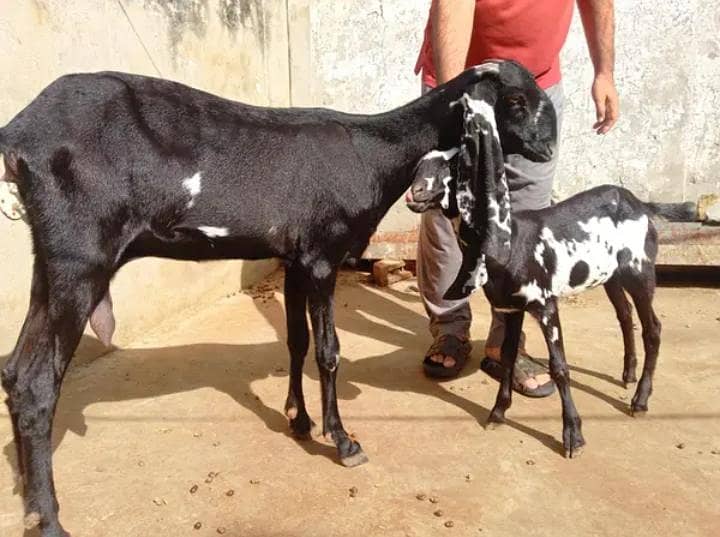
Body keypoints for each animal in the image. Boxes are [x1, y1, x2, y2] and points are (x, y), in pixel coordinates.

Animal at [0, 60, 556, 536]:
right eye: (515, 101)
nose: (548, 149)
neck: (373, 149)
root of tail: (18, 134)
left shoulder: (294, 258)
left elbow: (295, 340)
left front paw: (299, 420)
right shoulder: (323, 255)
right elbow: (328, 351)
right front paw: (344, 440)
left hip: (50, 262)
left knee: (14, 370)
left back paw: (28, 496)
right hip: (79, 257)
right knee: (35, 381)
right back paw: (48, 519)